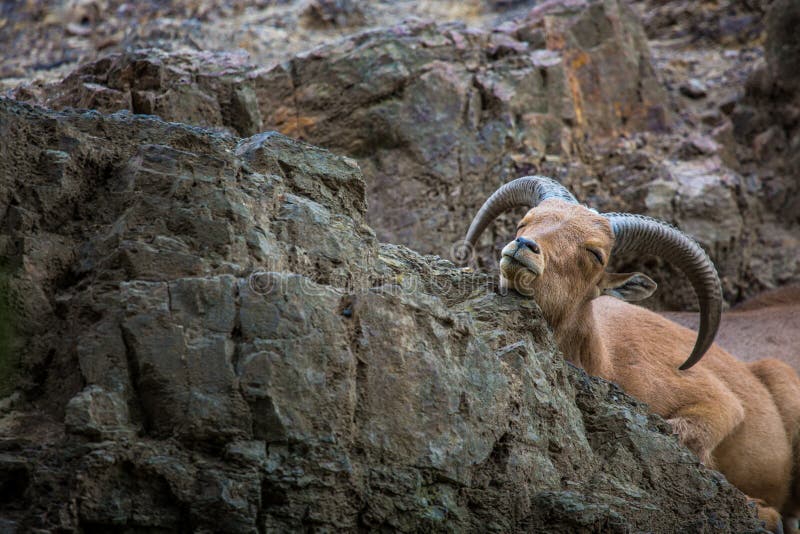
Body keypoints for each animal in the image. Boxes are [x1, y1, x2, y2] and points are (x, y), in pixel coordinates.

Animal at [462, 176, 797, 532]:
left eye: (595, 253)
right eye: (524, 222)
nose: (524, 245)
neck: (607, 360)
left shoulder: (719, 402)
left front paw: (761, 510)